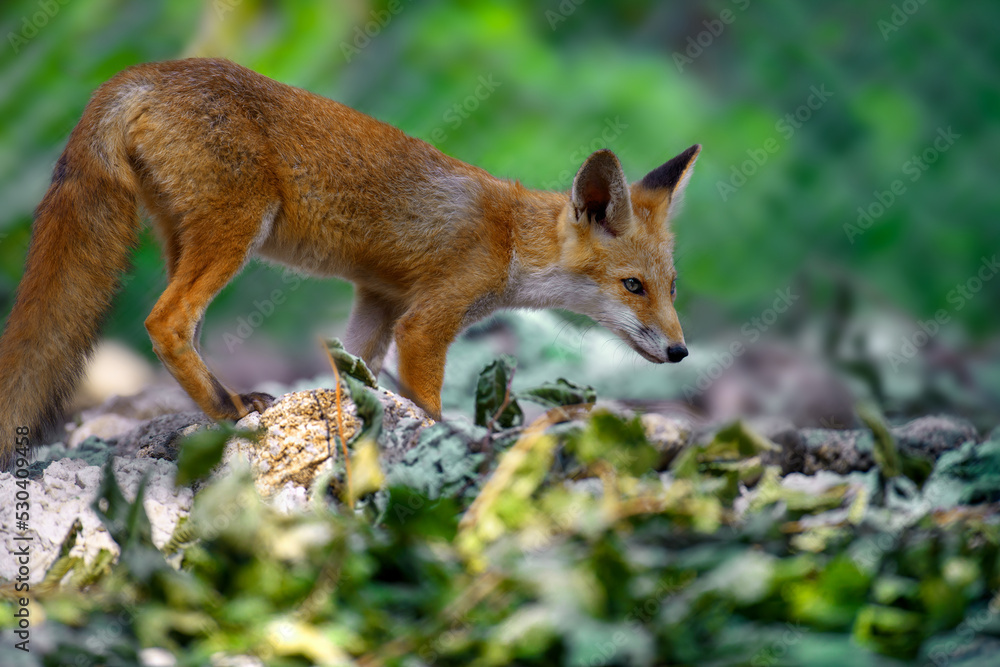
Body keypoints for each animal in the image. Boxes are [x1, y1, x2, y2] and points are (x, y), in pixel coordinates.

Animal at [0, 58, 700, 468]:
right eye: (632, 286)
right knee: (166, 322)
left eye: (670, 287)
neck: (508, 240)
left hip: (187, 239)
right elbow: (426, 403)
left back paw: (222, 406)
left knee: (185, 328)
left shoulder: (378, 304)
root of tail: (142, 72)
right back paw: (230, 410)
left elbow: (353, 377)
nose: (680, 352)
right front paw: (441, 445)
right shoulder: (426, 321)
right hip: (234, 234)